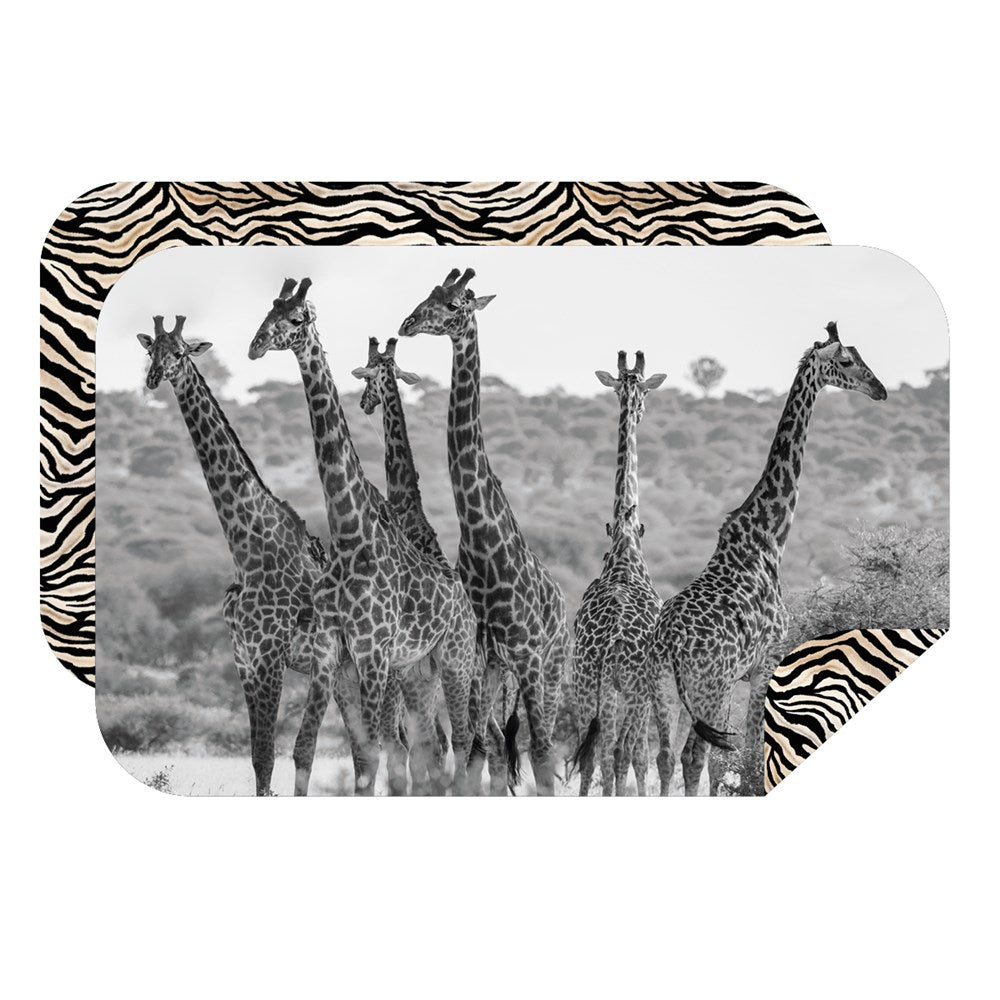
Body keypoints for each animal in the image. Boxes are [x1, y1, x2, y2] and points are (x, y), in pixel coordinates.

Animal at [248, 278, 477, 795]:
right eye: (268, 310)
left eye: (296, 319)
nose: (254, 347)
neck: (351, 536)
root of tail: (463, 597)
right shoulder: (330, 651)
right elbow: (308, 749)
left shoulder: (374, 652)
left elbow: (374, 754)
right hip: (417, 670)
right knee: (434, 745)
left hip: (453, 658)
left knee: (462, 740)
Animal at [351, 336, 509, 794]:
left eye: (367, 373)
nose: (364, 403)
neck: (407, 507)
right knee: (488, 740)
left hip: (459, 678)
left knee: (471, 740)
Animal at [398, 268, 572, 795]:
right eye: (430, 294)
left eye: (457, 304)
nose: (408, 323)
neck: (481, 539)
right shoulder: (479, 659)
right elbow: (475, 750)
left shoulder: (528, 656)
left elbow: (539, 752)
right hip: (498, 673)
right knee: (493, 744)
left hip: (551, 667)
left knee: (543, 745)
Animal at [645, 321, 887, 795]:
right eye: (846, 360)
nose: (880, 389)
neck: (769, 539)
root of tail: (670, 646)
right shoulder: (766, 661)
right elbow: (754, 749)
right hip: (710, 687)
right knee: (694, 757)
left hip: (666, 691)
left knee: (665, 756)